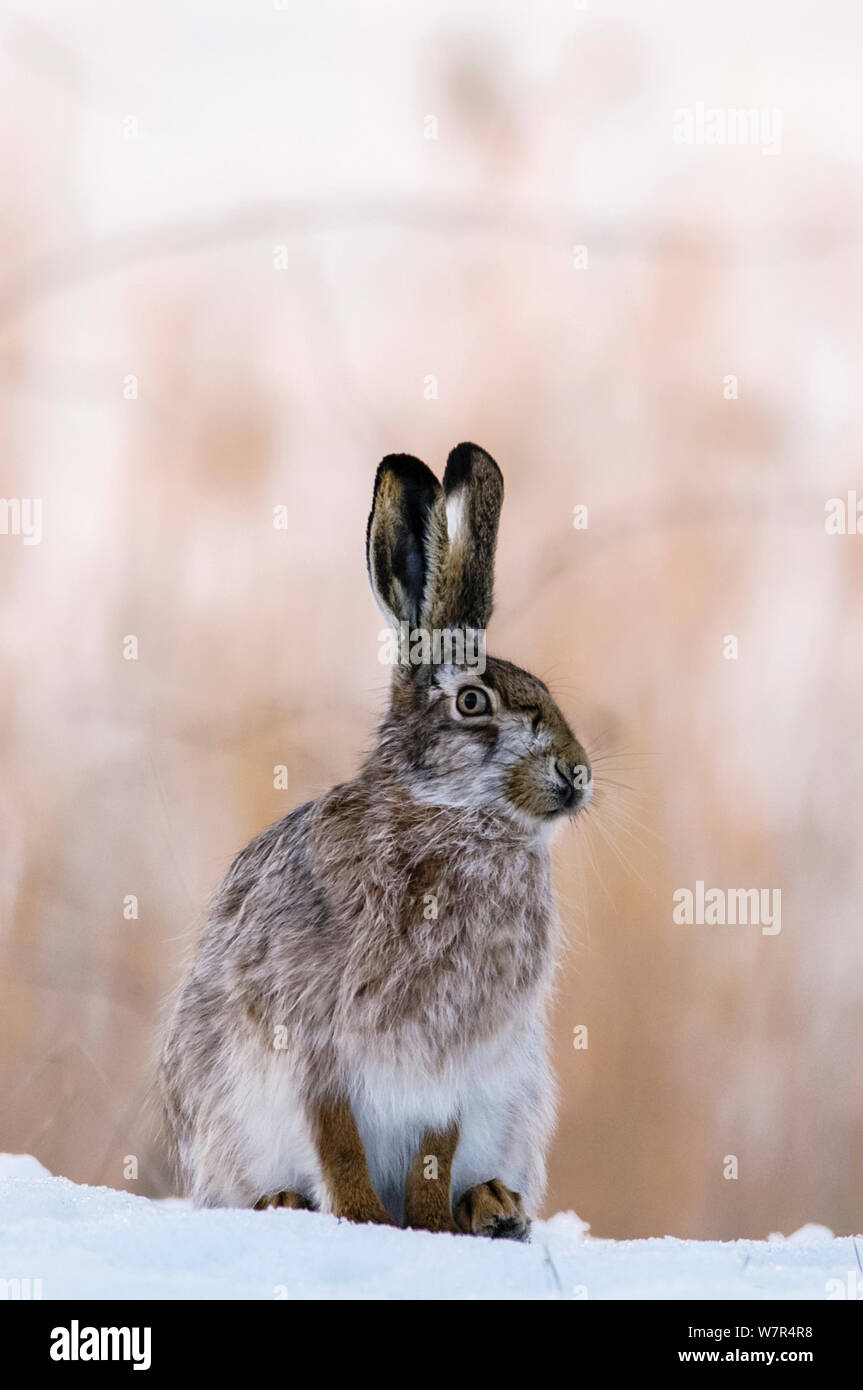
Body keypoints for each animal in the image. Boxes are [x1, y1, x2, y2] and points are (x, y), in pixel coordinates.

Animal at [159, 443, 592, 1239]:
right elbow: (335, 1139)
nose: (576, 774)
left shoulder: (457, 1064)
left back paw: (491, 1206)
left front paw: (429, 1228)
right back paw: (282, 1204)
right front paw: (361, 1219)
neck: (453, 817)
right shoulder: (312, 1041)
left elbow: (434, 1149)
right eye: (472, 701)